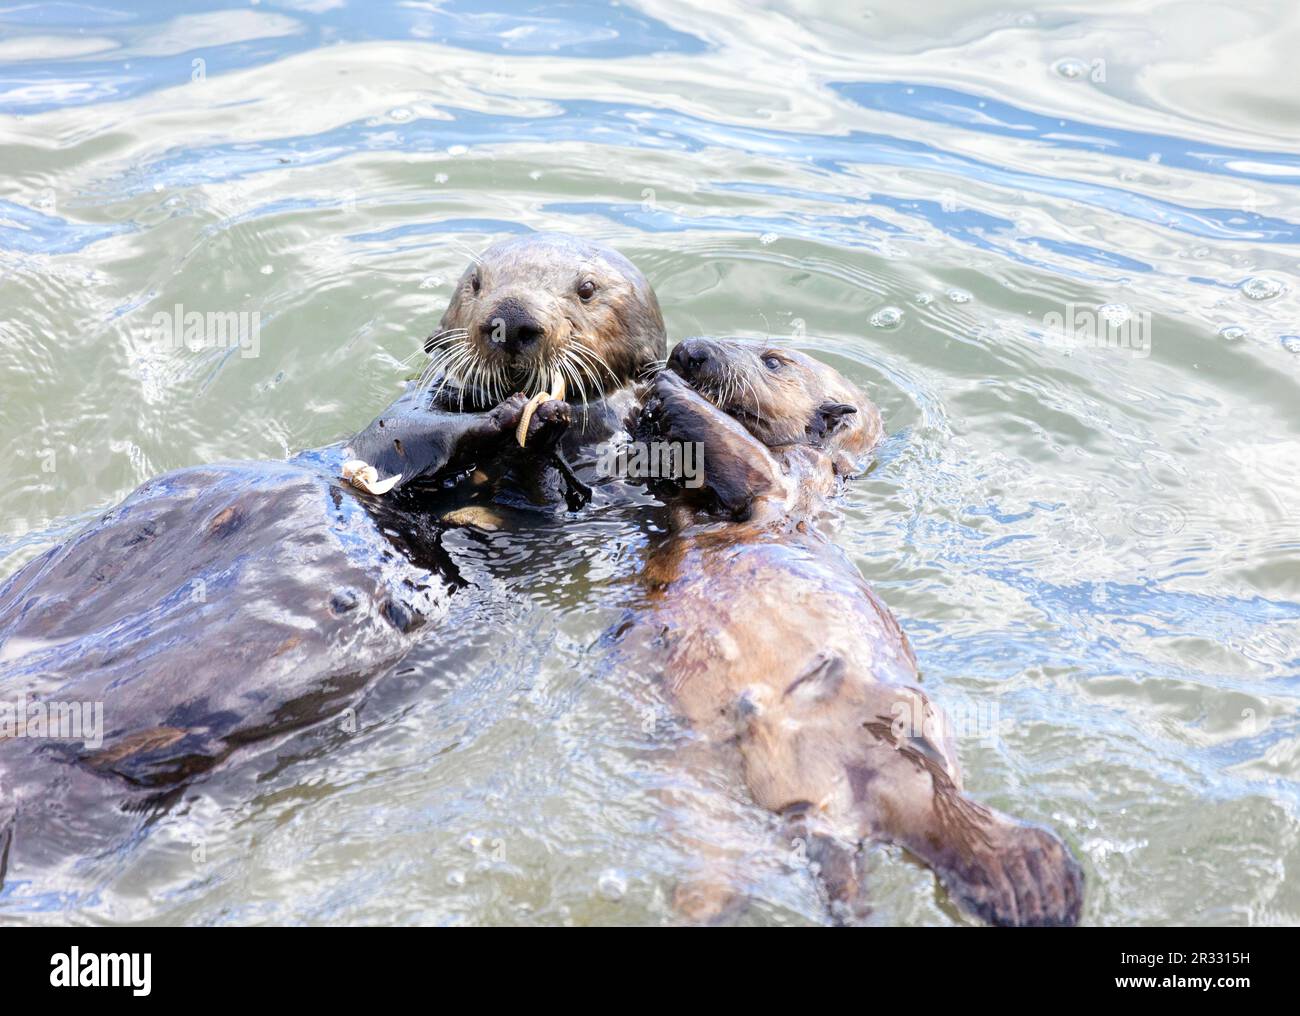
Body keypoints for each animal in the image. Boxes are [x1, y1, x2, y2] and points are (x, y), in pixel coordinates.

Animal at [619, 338, 1084, 927]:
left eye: (773, 360)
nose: (689, 350)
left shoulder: (792, 478)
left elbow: (750, 465)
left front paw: (667, 390)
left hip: (901, 723)